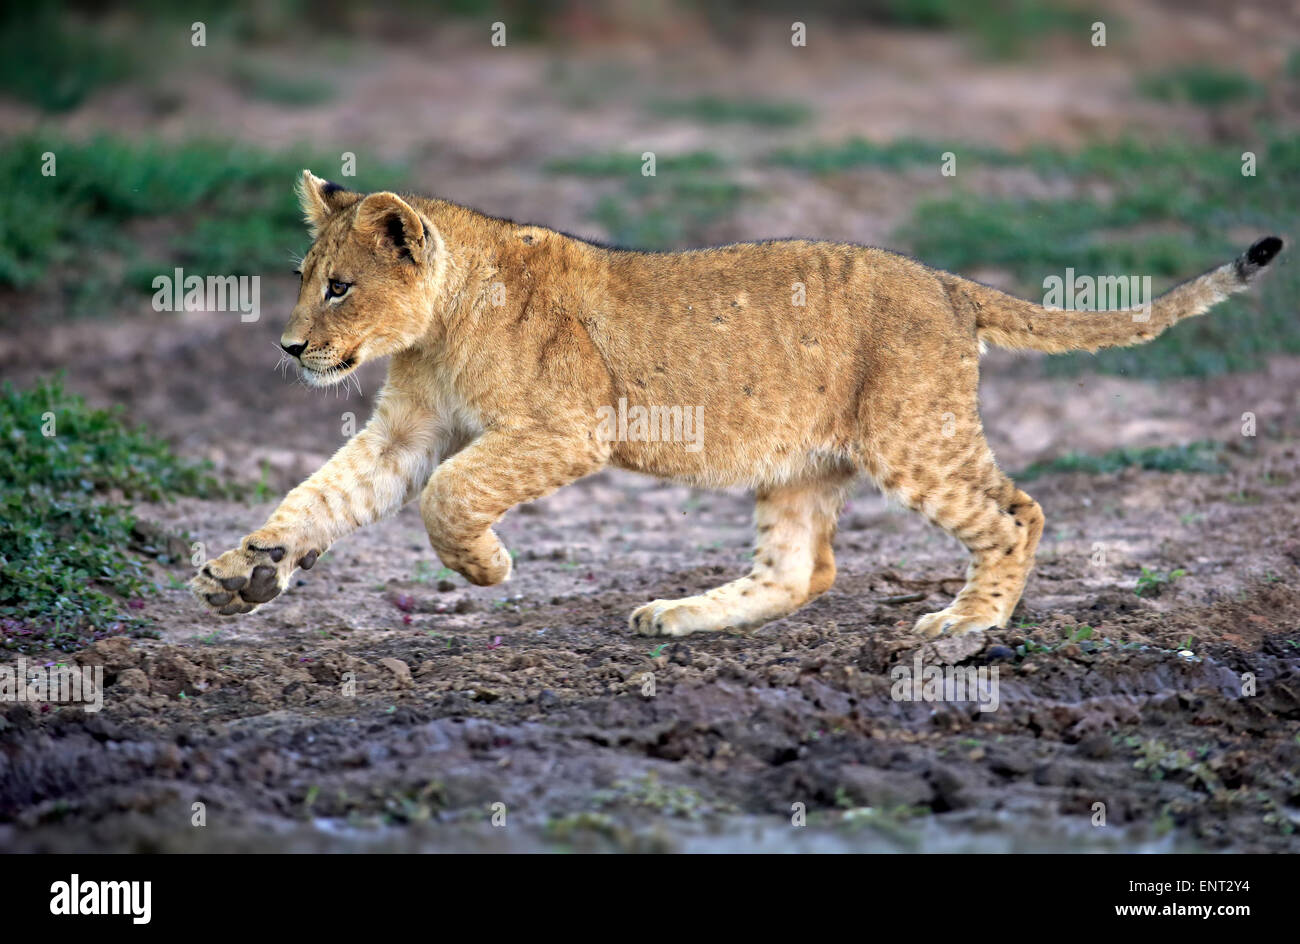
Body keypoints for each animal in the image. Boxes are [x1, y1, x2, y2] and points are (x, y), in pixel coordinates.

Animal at [191, 170, 1283, 638]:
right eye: (303, 278)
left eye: (340, 288)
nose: (291, 347)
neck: (440, 323)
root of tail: (946, 283)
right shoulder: (404, 433)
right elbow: (319, 496)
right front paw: (244, 573)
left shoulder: (568, 428)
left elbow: (450, 494)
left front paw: (487, 568)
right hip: (801, 461)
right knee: (803, 569)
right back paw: (680, 614)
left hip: (910, 435)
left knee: (1018, 510)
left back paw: (962, 626)